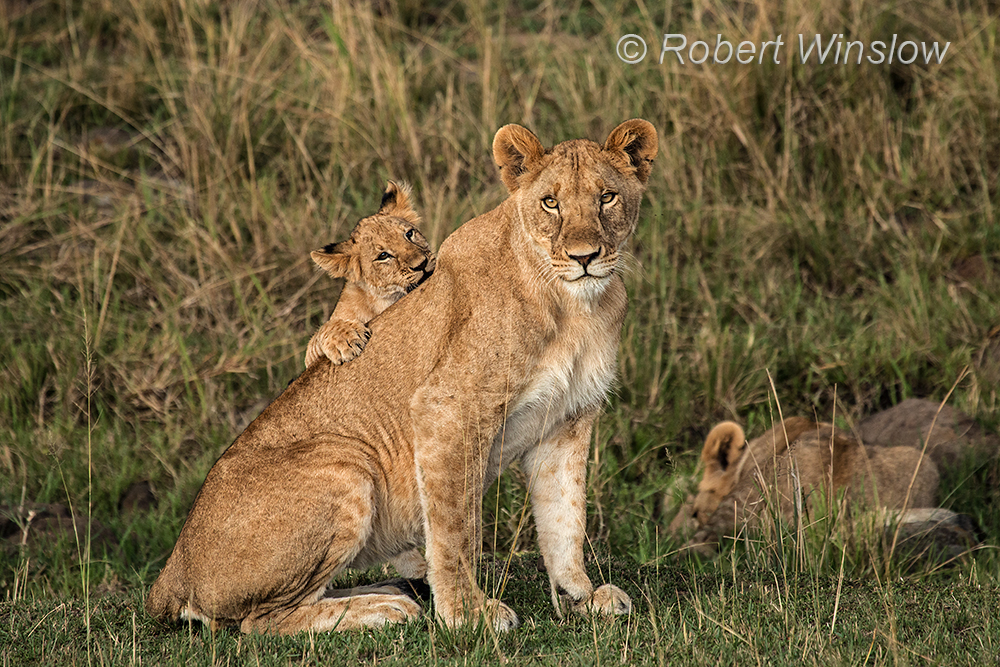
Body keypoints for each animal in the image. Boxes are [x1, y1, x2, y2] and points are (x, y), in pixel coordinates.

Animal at [304, 180, 435, 369]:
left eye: (409, 234)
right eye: (383, 256)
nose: (421, 264)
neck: (385, 301)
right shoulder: (309, 360)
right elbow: (322, 330)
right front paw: (346, 339)